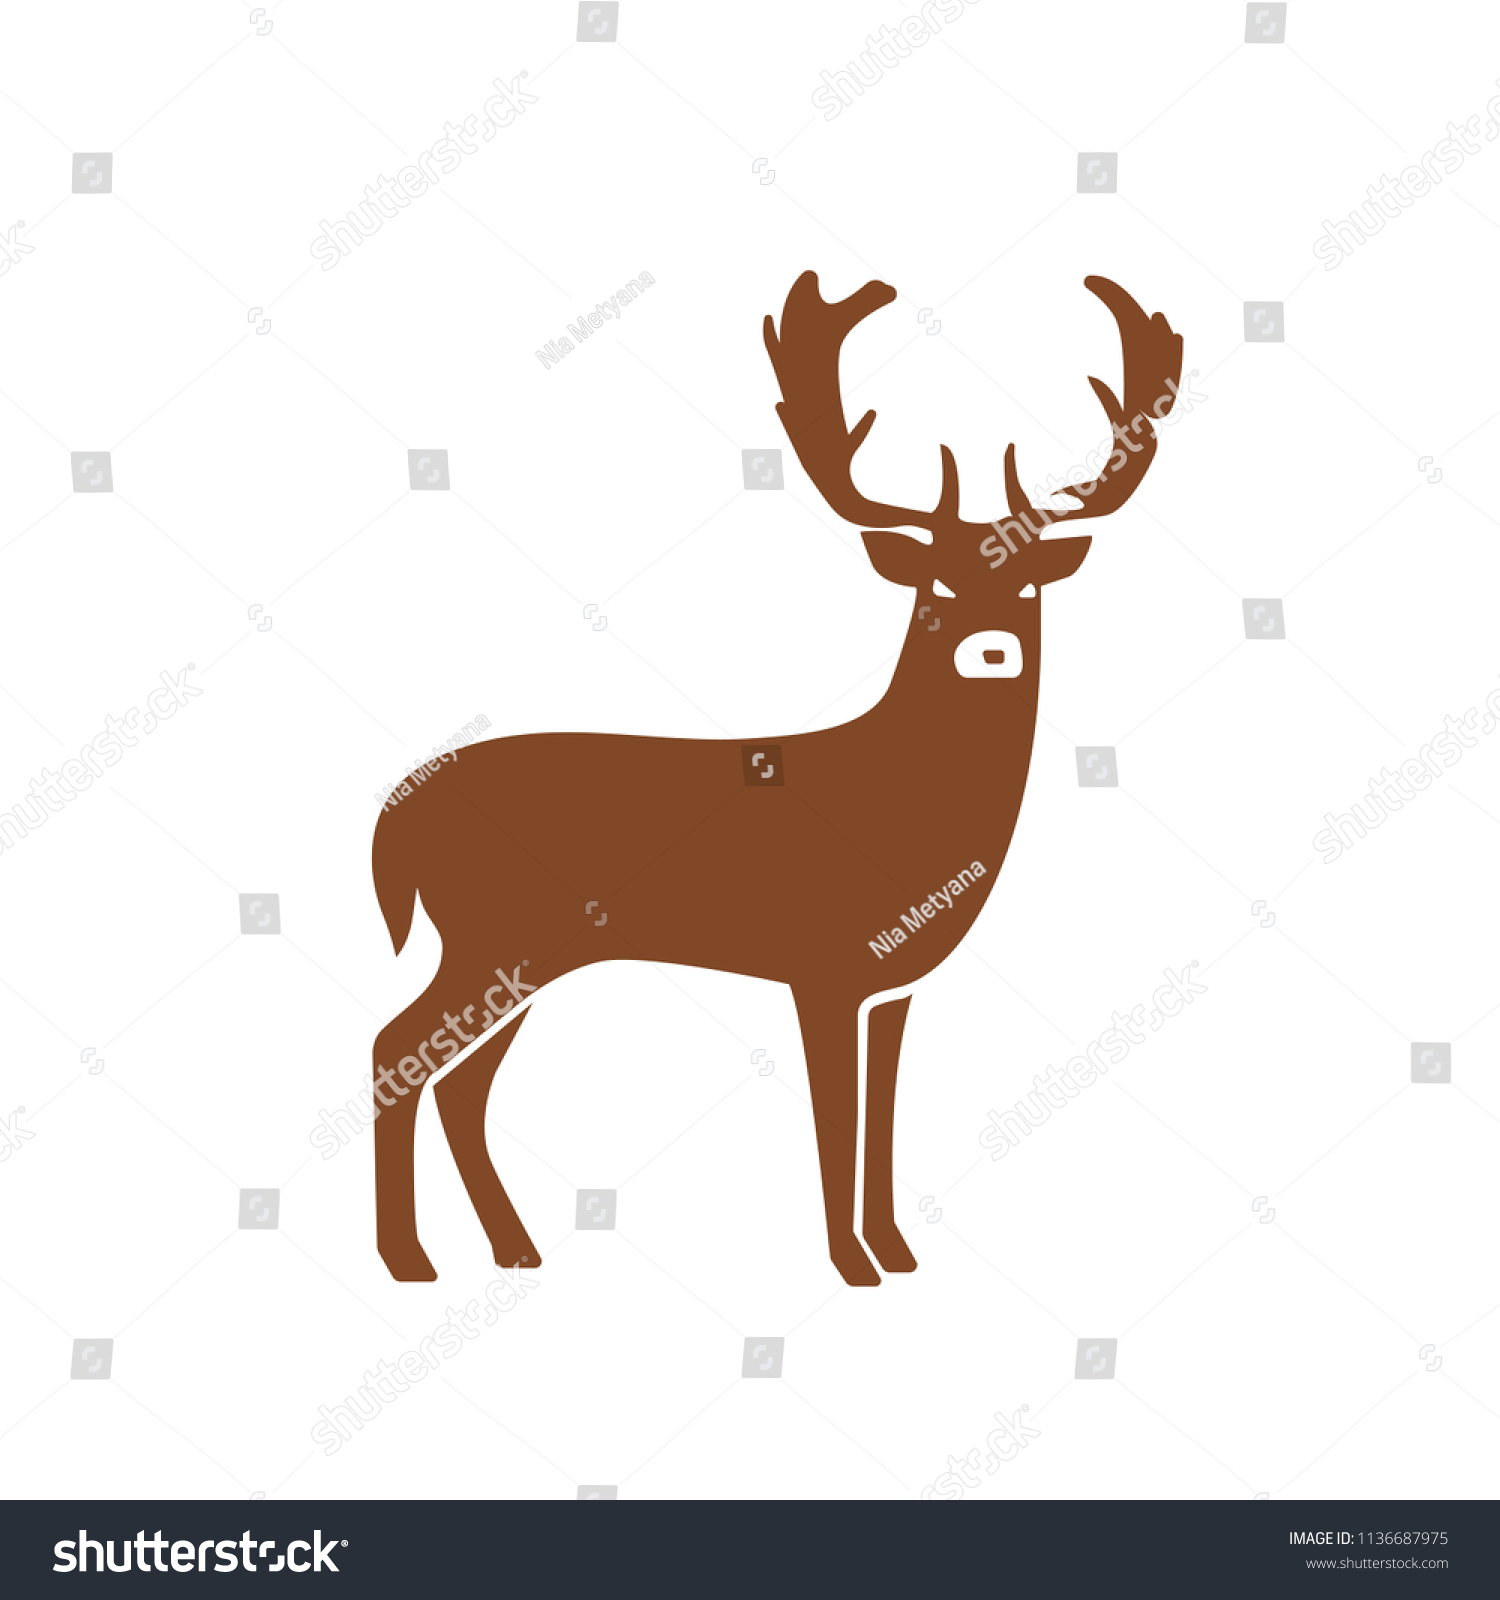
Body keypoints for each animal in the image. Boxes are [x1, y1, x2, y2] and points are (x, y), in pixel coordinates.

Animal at [370, 270, 1182, 1287]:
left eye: (1029, 586)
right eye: (936, 589)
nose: (992, 651)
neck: (898, 801)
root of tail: (393, 817)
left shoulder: (892, 982)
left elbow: (881, 1111)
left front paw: (897, 1253)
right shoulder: (819, 963)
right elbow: (837, 1116)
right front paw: (851, 1264)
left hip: (520, 954)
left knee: (460, 1079)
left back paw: (513, 1251)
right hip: (489, 935)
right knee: (398, 1050)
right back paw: (410, 1258)